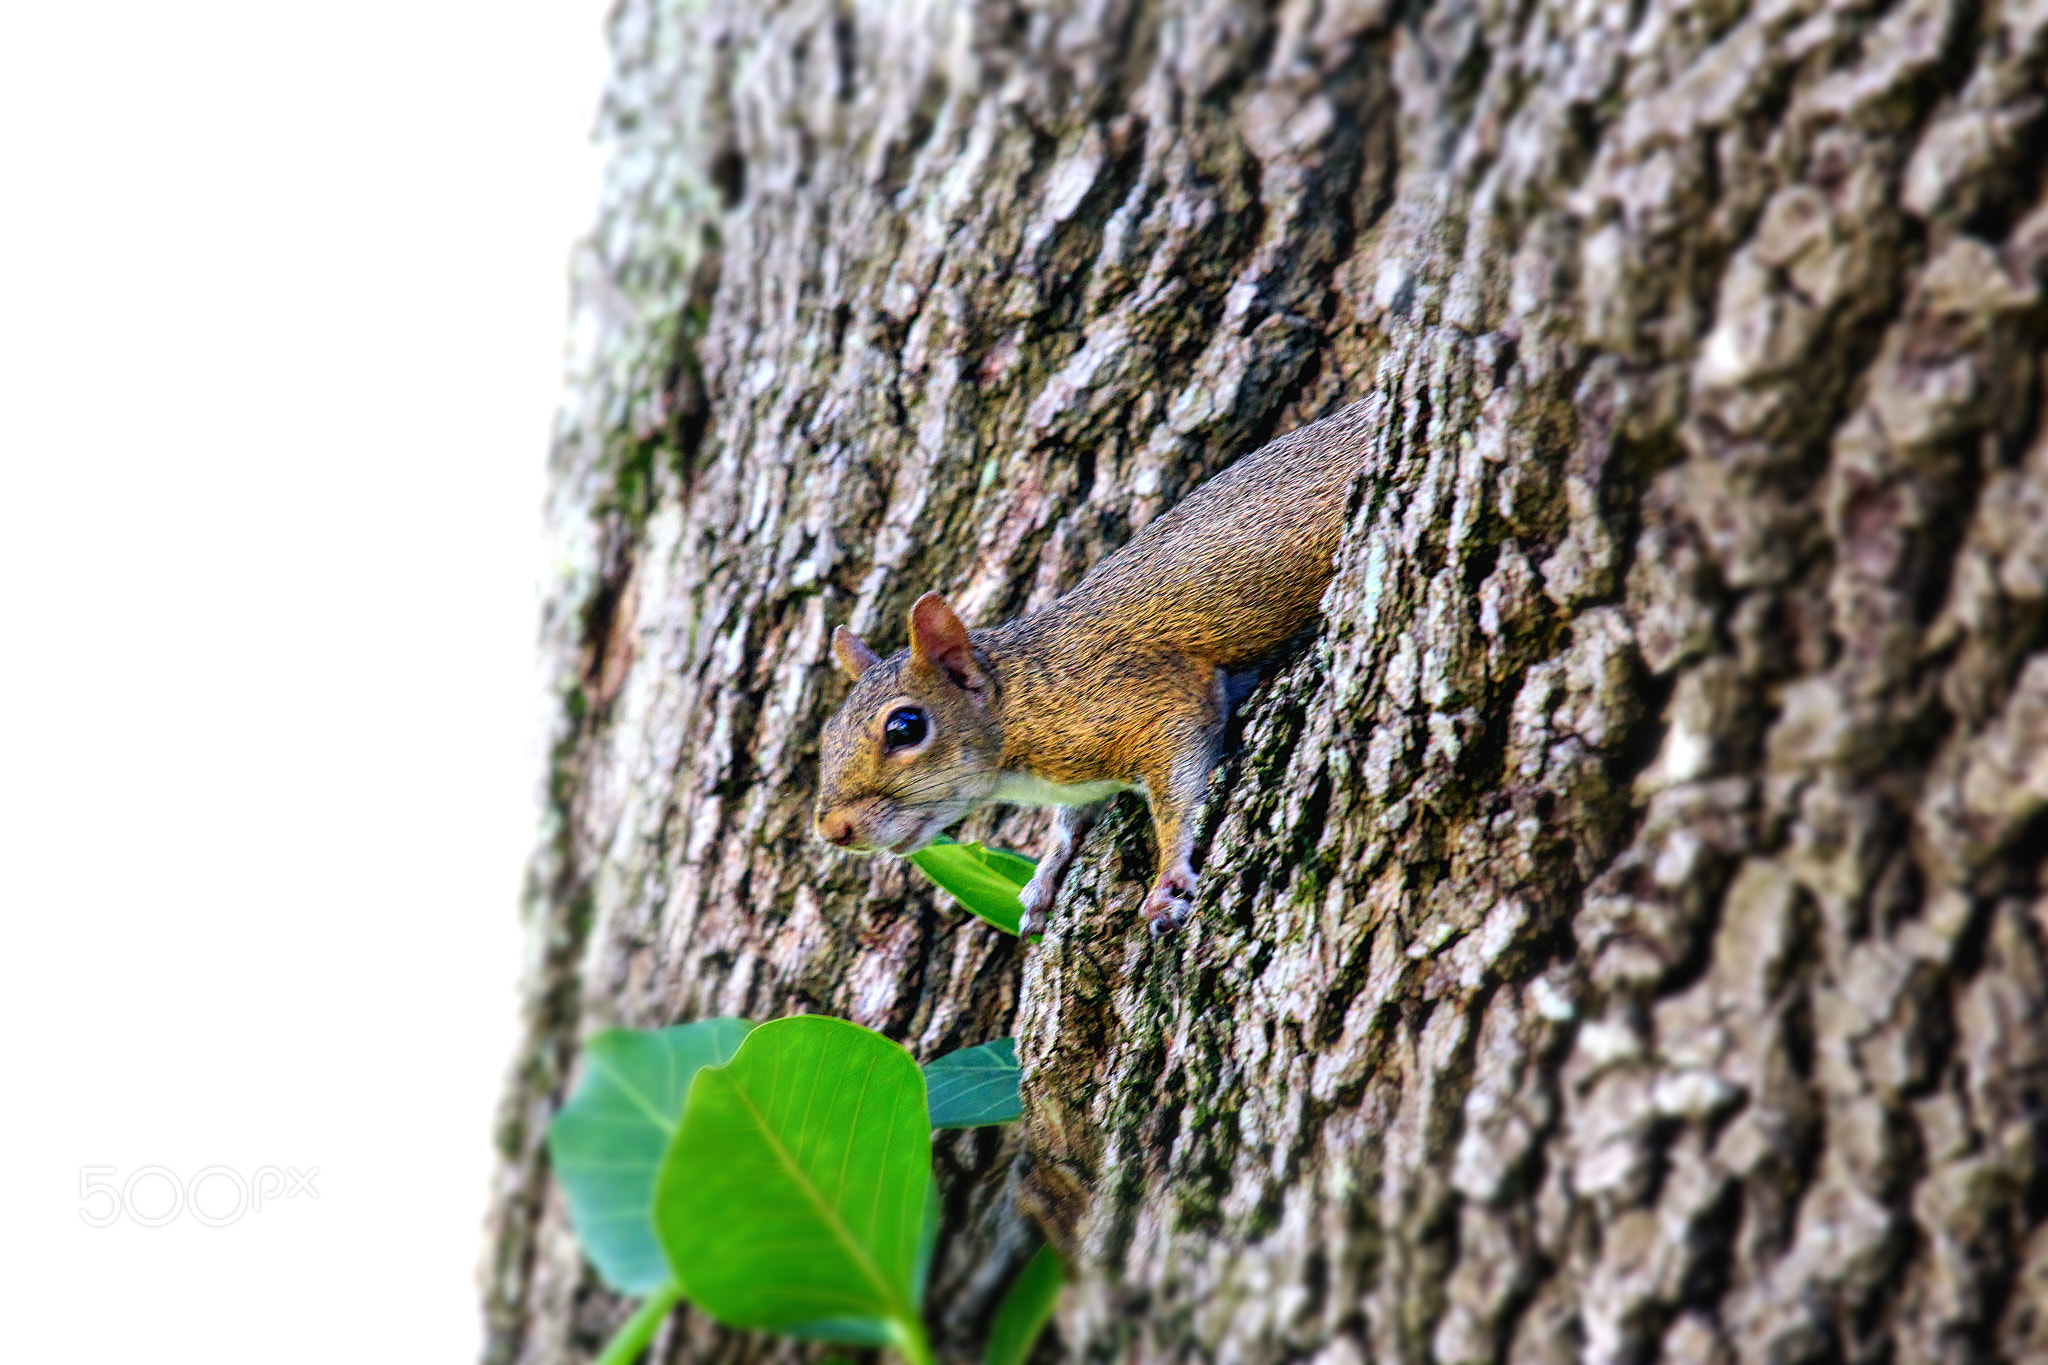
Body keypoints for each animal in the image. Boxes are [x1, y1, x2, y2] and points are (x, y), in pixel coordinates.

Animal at [815, 403, 1376, 941]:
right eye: (827, 733)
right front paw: (1045, 874)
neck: (1025, 702)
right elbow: (1070, 822)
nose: (832, 831)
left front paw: (1168, 876)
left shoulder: (1151, 696)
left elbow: (1179, 788)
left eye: (905, 727)